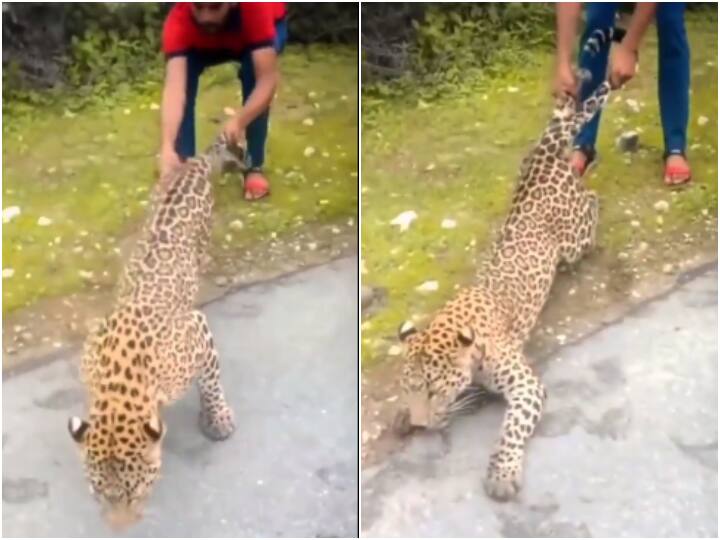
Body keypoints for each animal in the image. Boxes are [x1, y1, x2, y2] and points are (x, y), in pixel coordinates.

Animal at [67, 132, 245, 528]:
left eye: (134, 491)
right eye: (98, 491)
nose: (118, 530)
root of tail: (190, 164)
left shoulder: (197, 331)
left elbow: (211, 383)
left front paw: (217, 419)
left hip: (203, 242)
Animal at [395, 29, 622, 502]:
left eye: (432, 389)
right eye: (409, 388)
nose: (422, 426)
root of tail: (542, 155)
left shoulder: (525, 385)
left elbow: (511, 429)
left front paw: (501, 473)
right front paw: (403, 416)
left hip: (573, 236)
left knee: (591, 205)